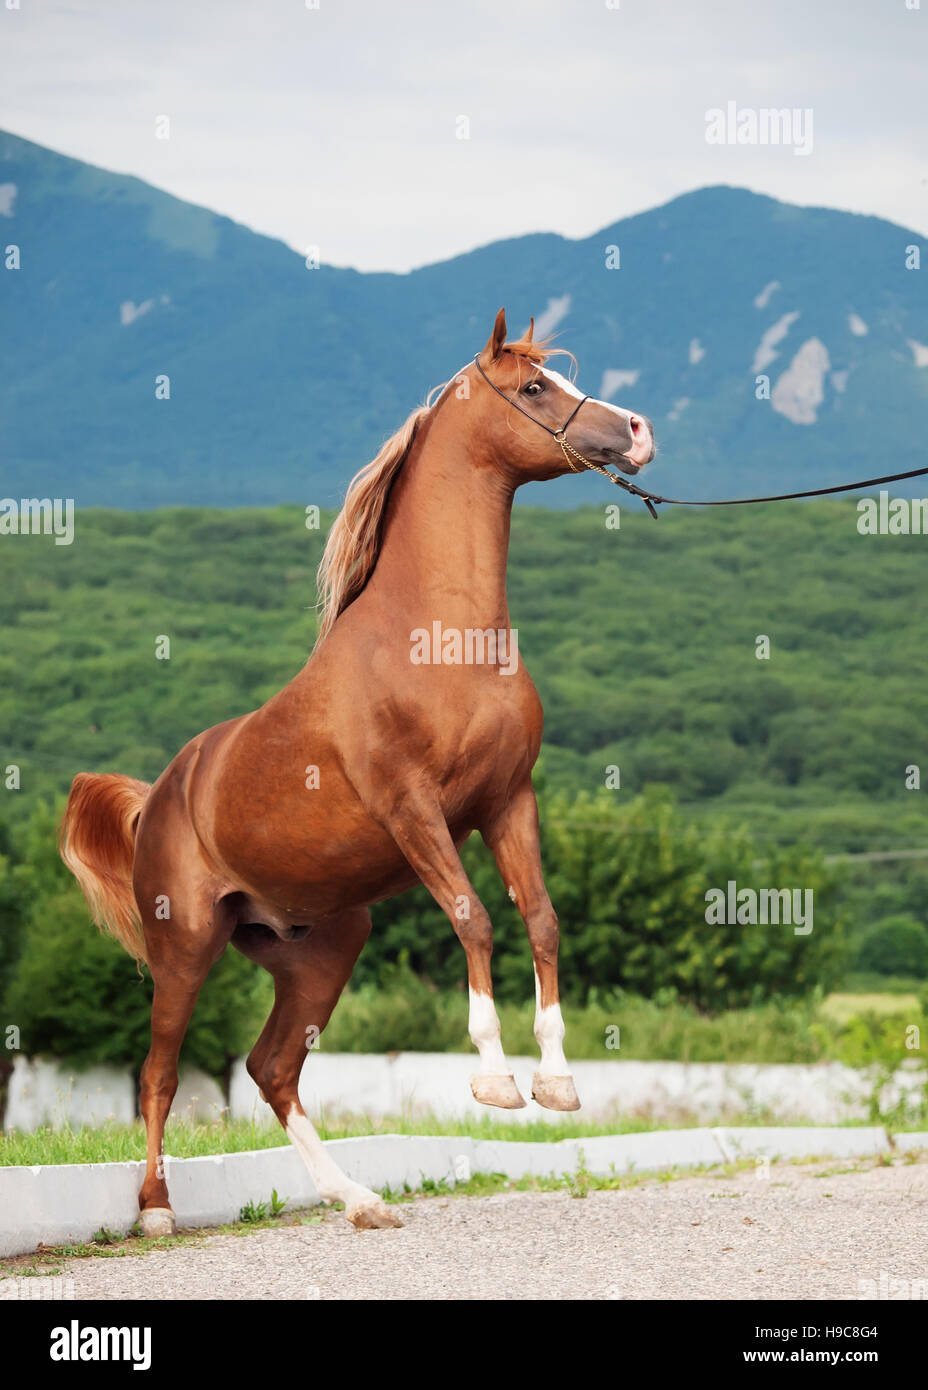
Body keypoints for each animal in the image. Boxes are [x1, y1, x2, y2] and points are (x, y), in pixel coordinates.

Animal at [60, 308, 655, 1233]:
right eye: (533, 387)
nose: (635, 430)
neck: (439, 640)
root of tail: (156, 798)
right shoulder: (414, 809)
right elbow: (475, 919)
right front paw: (495, 1082)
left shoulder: (507, 803)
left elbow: (542, 921)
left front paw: (556, 1084)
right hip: (185, 947)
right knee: (160, 1074)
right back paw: (156, 1211)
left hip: (321, 949)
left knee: (272, 1070)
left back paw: (359, 1199)